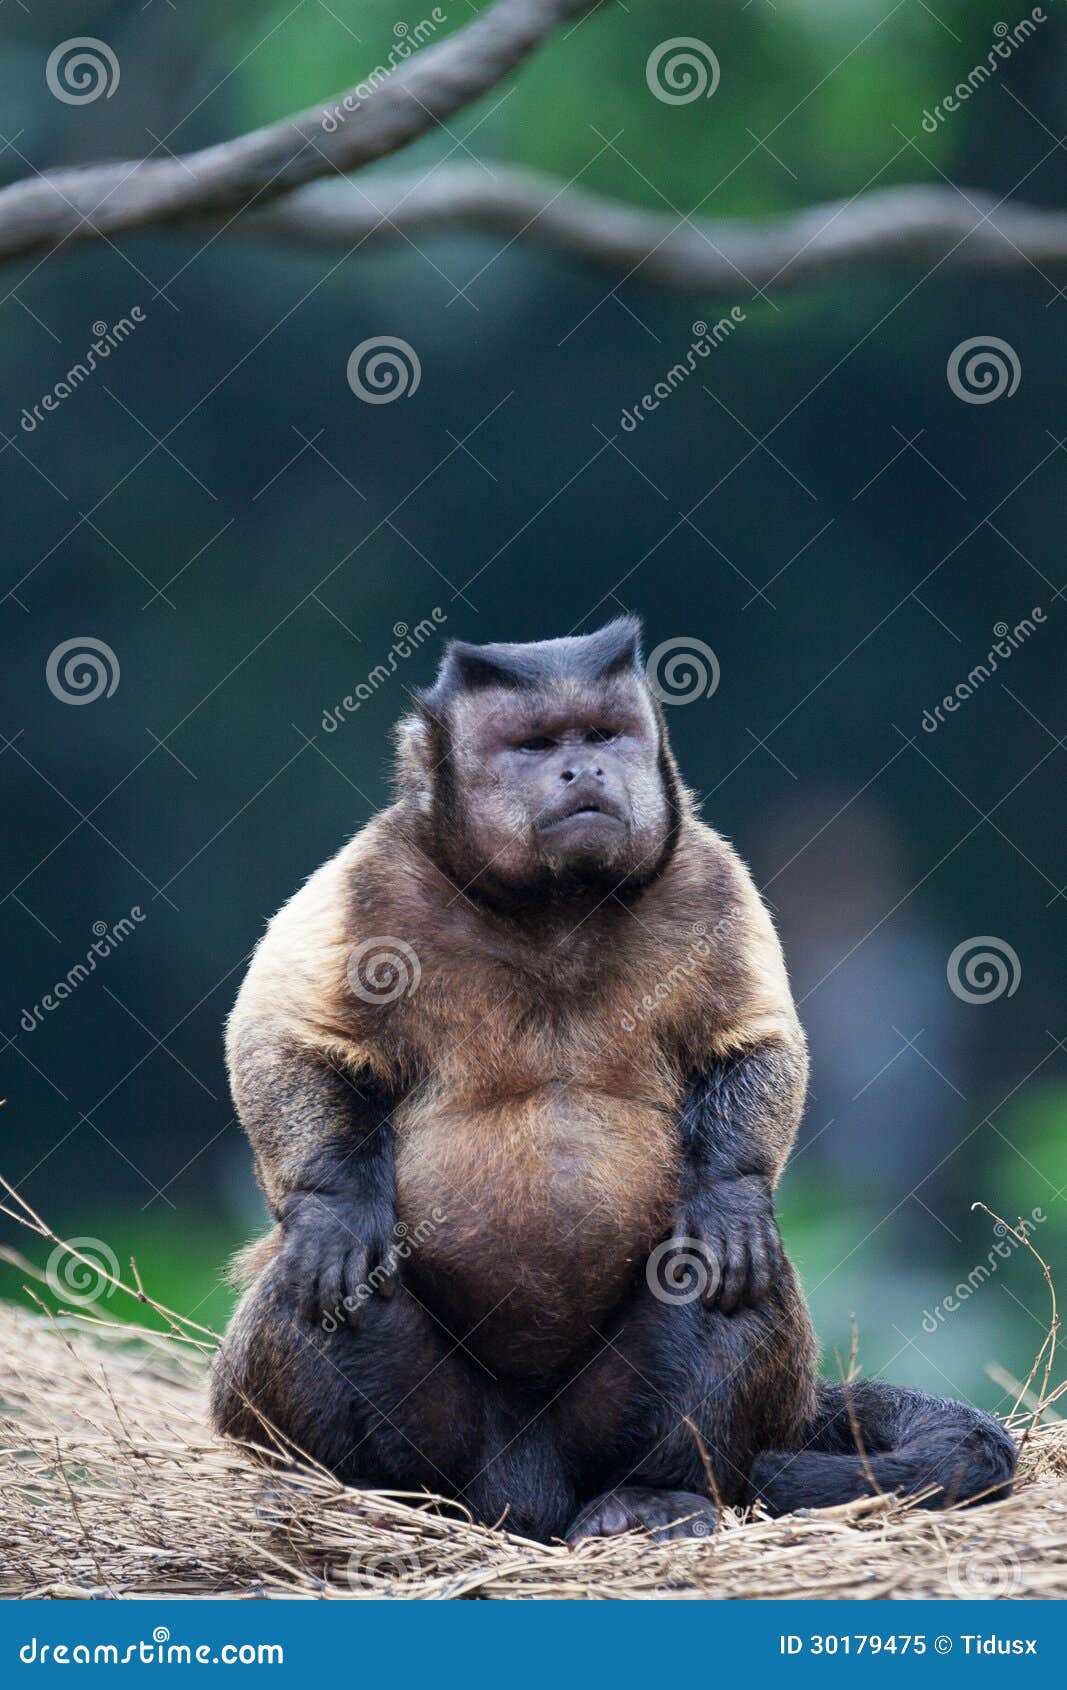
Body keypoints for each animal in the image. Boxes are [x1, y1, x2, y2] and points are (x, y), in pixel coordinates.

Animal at [211, 617, 1016, 1544]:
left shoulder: (706, 877)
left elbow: (754, 1043)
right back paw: (375, 1489)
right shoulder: (369, 879)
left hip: (609, 1431)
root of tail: (522, 1490)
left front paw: (732, 1193)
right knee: (337, 1284)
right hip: (444, 1443)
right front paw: (336, 1206)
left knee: (720, 1277)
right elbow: (283, 1040)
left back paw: (655, 1490)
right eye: (533, 745)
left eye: (600, 735)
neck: (551, 910)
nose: (582, 772)